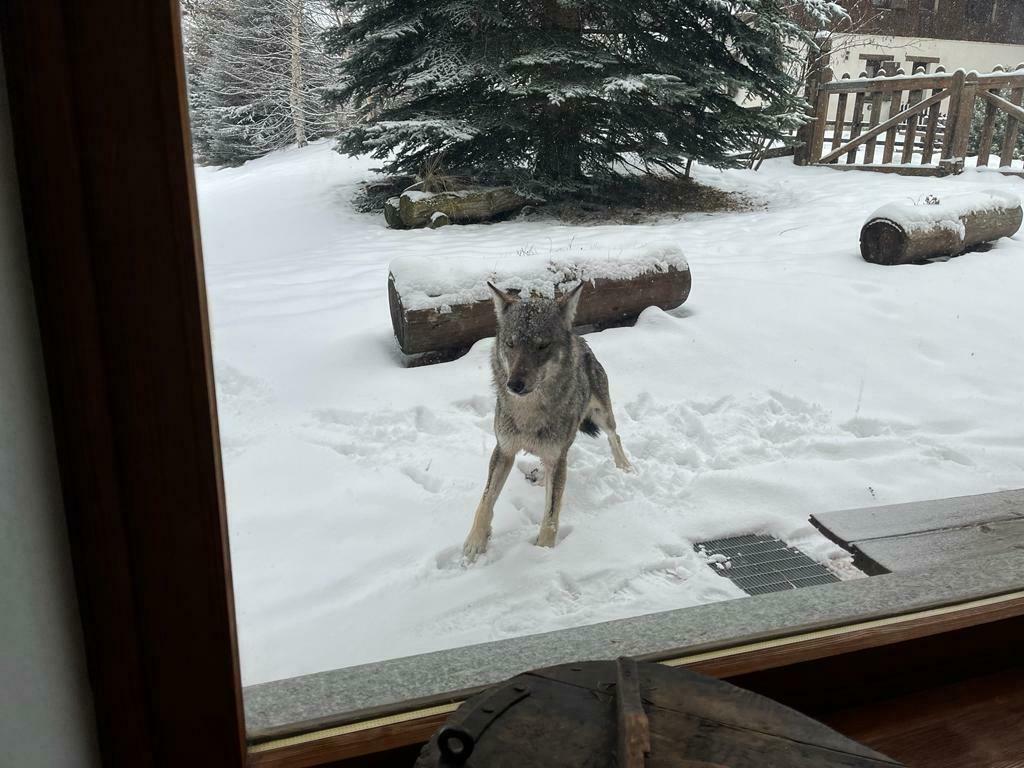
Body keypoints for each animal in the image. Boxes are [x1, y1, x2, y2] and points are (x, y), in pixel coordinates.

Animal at [462, 281, 634, 561]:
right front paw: (475, 542)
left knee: (614, 436)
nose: (514, 384)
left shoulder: (558, 456)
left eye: (542, 345)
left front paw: (542, 554)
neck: (529, 413)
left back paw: (625, 467)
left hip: (602, 415)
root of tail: (581, 340)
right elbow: (486, 501)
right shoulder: (504, 450)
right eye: (510, 344)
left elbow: (551, 515)